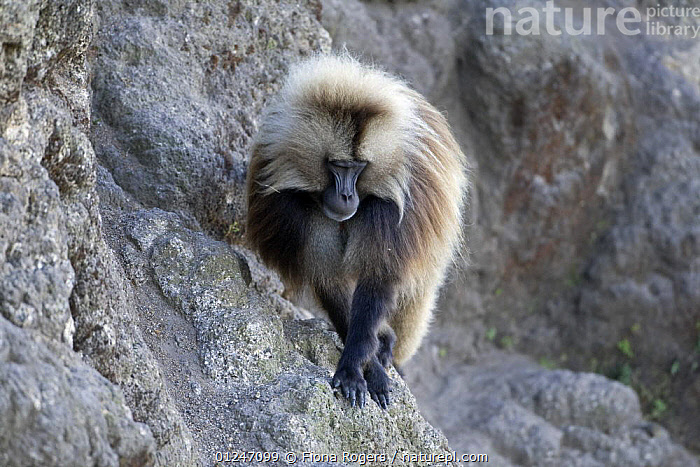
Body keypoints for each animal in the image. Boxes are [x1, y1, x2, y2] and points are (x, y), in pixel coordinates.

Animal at [246, 54, 467, 409]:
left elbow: (379, 278)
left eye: (358, 167)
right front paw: (366, 370)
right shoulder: (302, 211)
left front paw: (357, 364)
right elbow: (330, 282)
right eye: (337, 166)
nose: (347, 196)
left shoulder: (392, 212)